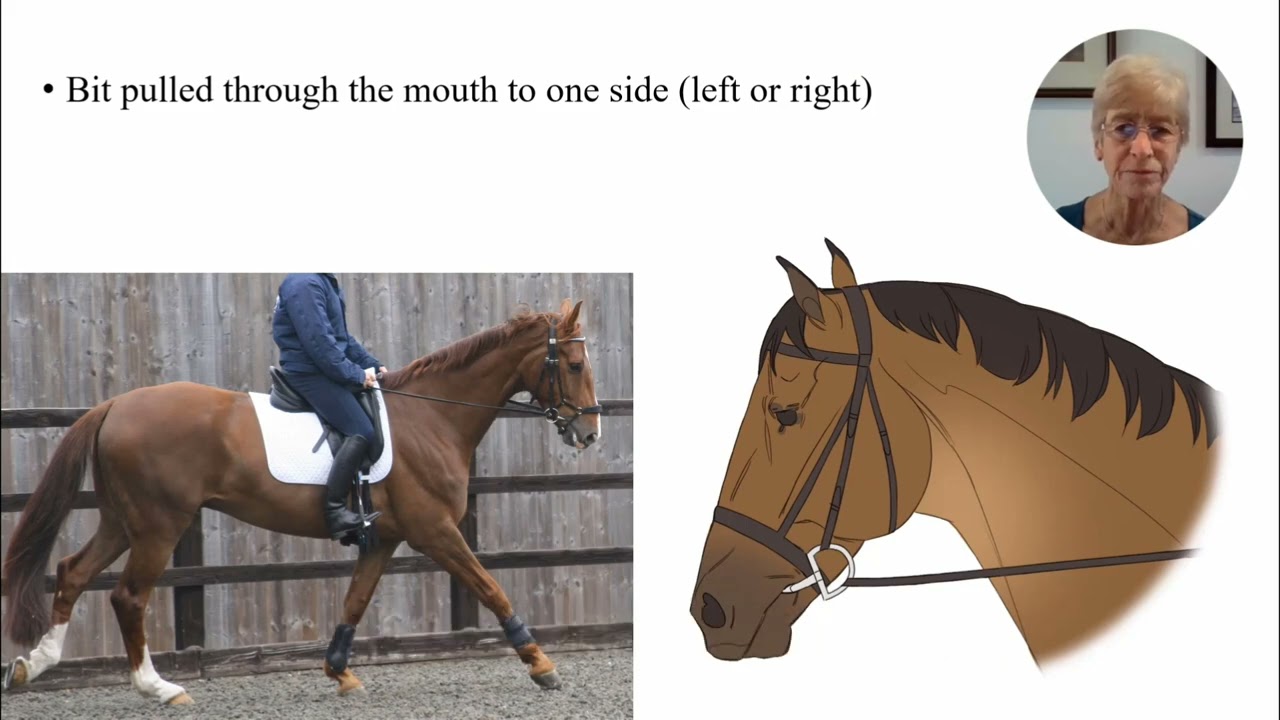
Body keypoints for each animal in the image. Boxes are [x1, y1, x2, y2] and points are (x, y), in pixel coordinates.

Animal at [1, 298, 603, 705]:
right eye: (574, 367)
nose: (589, 432)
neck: (431, 417)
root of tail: (115, 405)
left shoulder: (383, 538)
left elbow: (355, 602)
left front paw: (340, 670)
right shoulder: (435, 531)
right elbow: (490, 587)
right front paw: (540, 663)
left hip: (122, 520)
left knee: (73, 573)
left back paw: (33, 665)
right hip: (158, 525)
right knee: (127, 597)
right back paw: (159, 687)